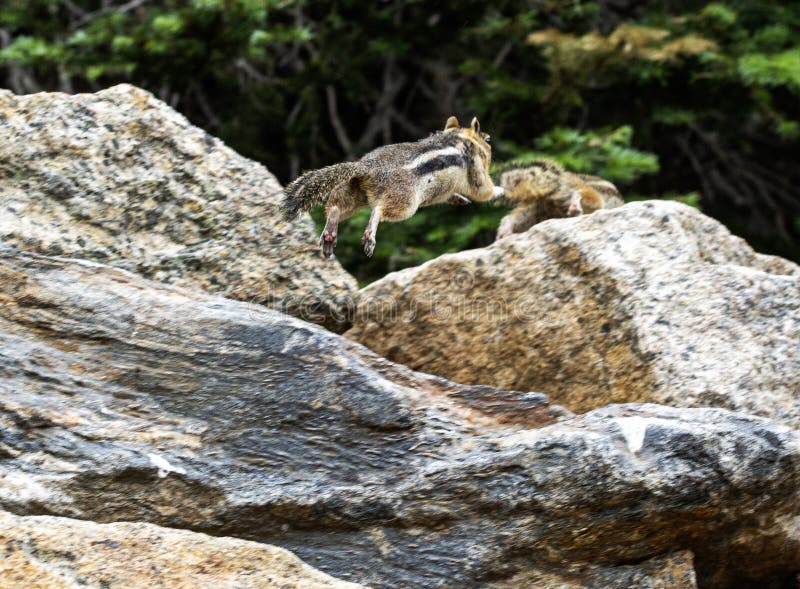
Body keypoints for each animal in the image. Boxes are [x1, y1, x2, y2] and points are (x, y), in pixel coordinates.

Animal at [283, 116, 503, 258]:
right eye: (488, 139)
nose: (491, 144)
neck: (460, 137)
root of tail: (369, 167)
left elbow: (452, 195)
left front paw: (459, 198)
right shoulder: (477, 169)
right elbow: (484, 190)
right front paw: (500, 190)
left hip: (353, 192)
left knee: (336, 208)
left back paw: (329, 236)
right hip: (404, 202)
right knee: (379, 211)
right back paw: (369, 236)